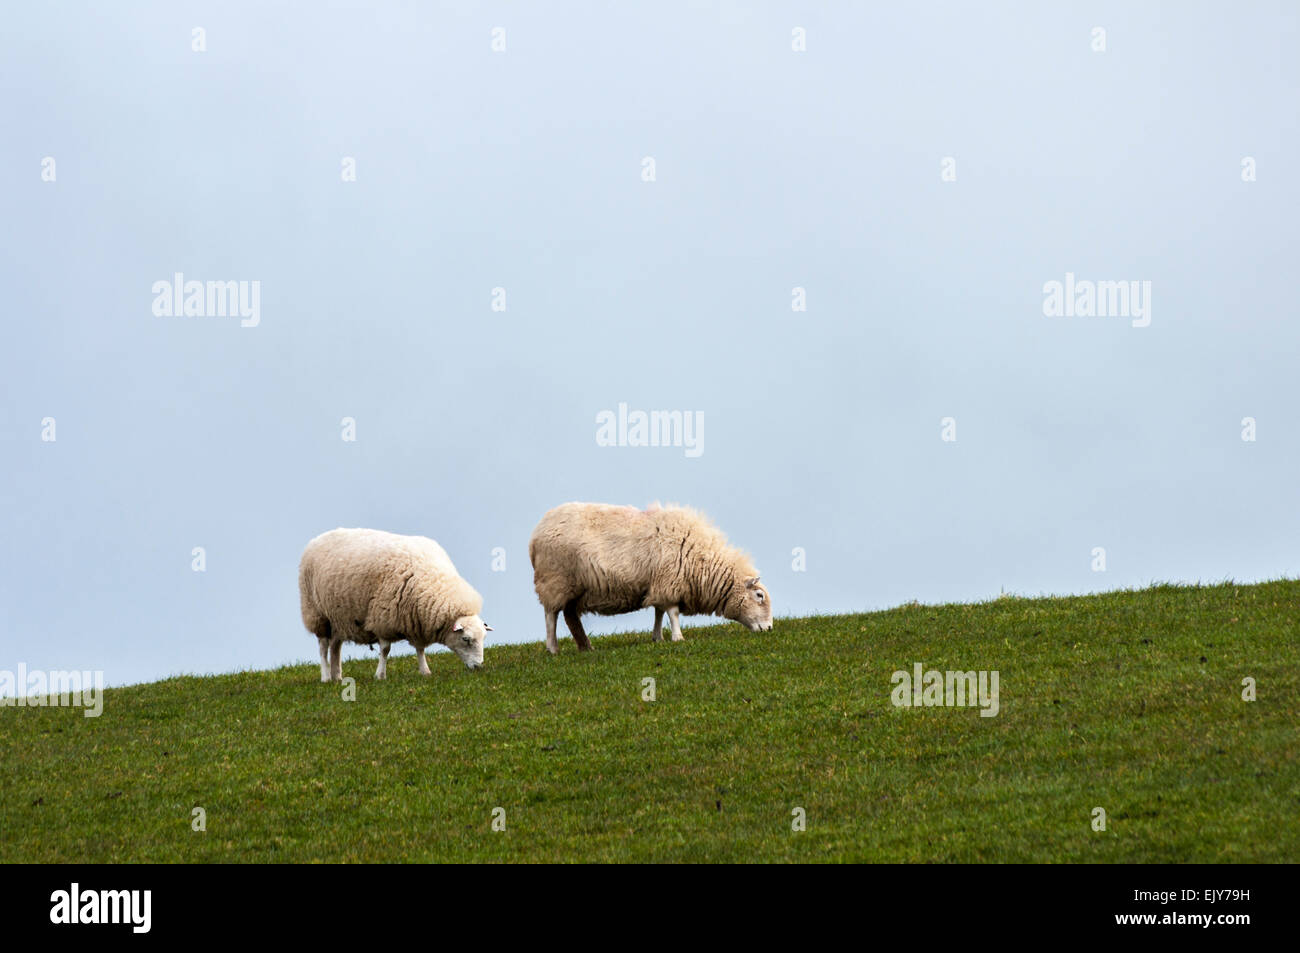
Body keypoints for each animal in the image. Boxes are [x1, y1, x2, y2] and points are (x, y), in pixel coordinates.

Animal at [298, 528, 491, 681]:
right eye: (466, 639)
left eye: (483, 638)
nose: (478, 667)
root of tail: (318, 538)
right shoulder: (383, 618)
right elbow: (385, 650)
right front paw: (380, 675)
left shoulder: (416, 620)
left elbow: (420, 649)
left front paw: (425, 671)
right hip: (318, 614)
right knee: (323, 647)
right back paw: (326, 677)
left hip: (338, 618)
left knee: (335, 647)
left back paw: (337, 676)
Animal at [528, 502, 773, 653]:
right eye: (759, 595)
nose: (770, 629)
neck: (701, 560)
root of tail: (536, 534)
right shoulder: (670, 581)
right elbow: (672, 612)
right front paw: (677, 637)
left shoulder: (660, 584)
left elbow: (659, 612)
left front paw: (658, 637)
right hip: (555, 581)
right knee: (551, 615)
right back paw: (553, 648)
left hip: (574, 588)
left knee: (570, 616)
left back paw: (585, 646)